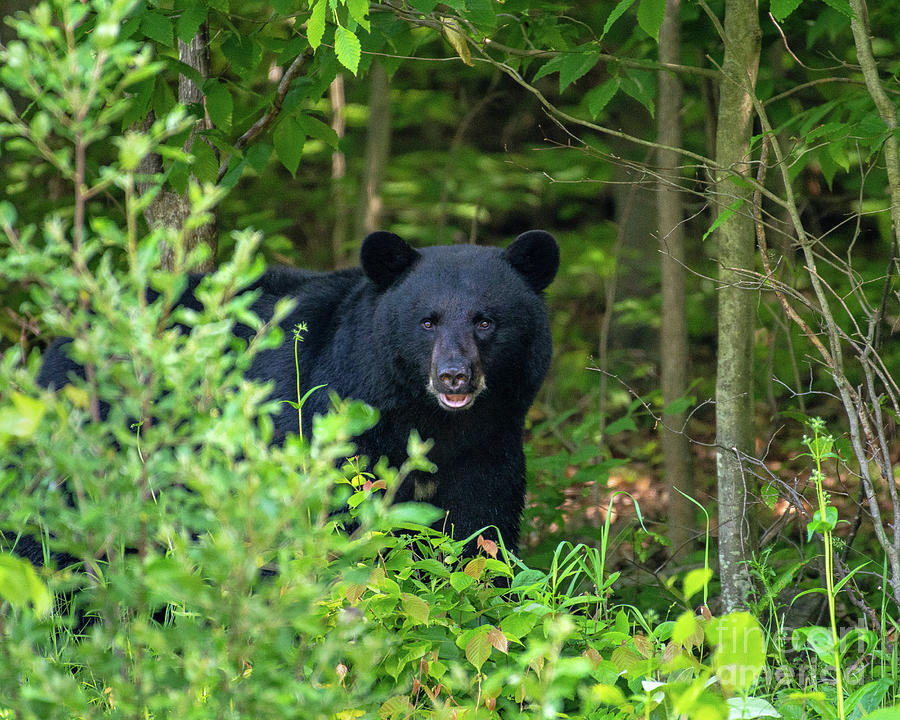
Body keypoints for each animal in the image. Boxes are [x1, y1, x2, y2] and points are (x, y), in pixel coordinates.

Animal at [35, 230, 559, 554]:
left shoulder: (488, 445)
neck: (427, 421)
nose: (454, 376)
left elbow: (480, 532)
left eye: (485, 321)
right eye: (427, 321)